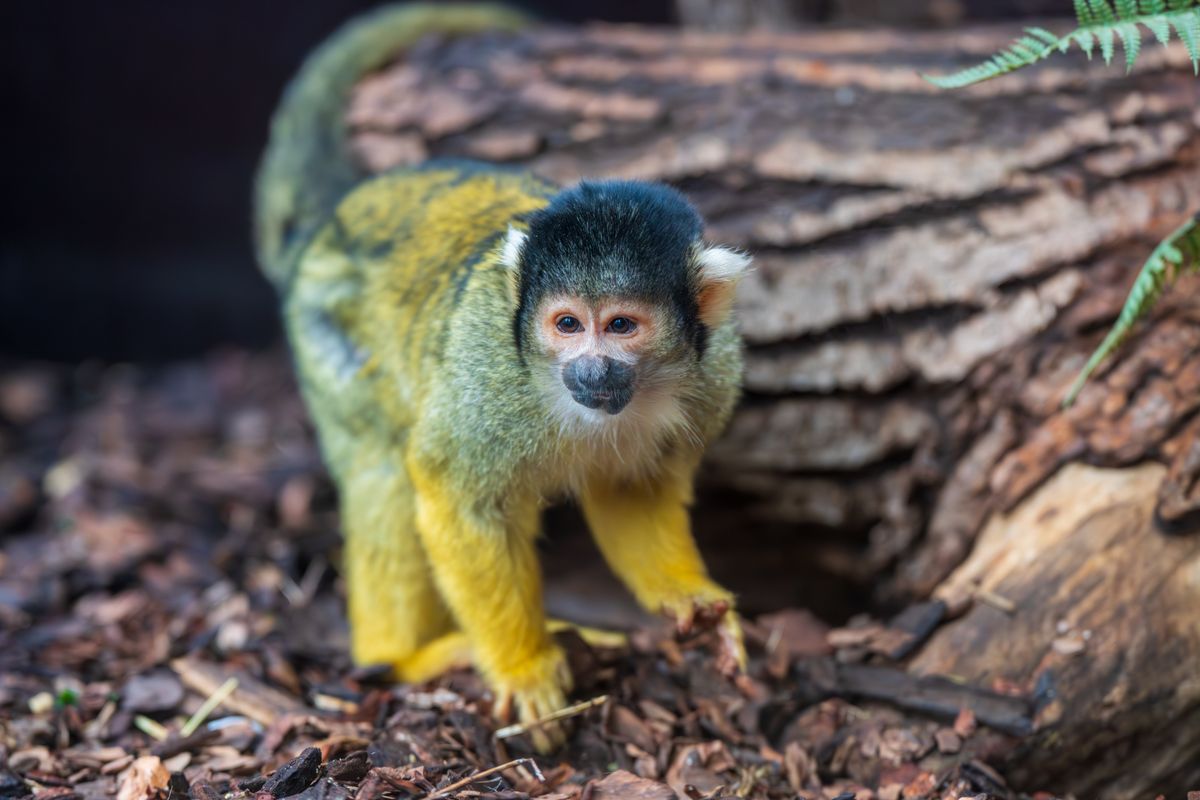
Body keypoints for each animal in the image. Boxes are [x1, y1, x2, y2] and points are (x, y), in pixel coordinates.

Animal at [254, 3, 751, 752]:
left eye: (621, 326)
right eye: (567, 325)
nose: (591, 368)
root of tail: (333, 217)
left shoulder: (712, 372)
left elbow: (630, 492)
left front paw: (690, 598)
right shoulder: (489, 370)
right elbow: (453, 493)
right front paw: (521, 666)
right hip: (324, 330)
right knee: (384, 468)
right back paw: (403, 659)